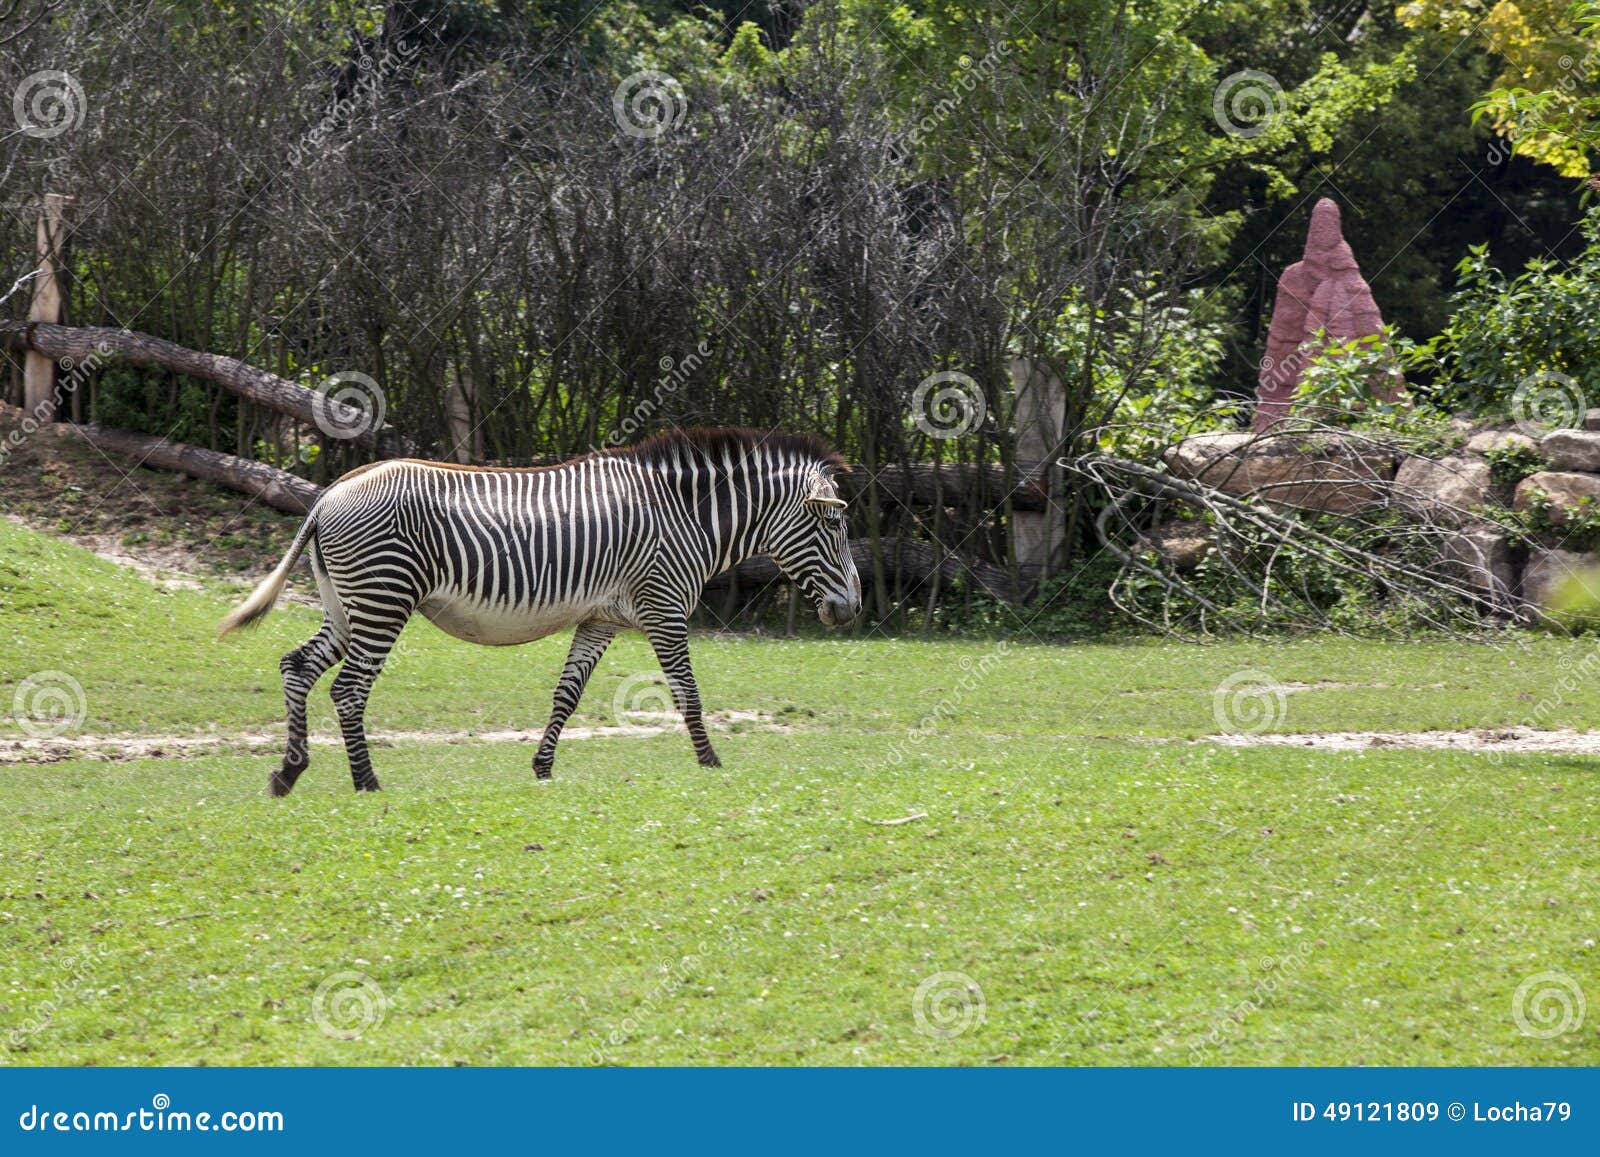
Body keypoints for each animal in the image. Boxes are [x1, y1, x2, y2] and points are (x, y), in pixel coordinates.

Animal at [218, 428, 862, 795]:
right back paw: (366, 781)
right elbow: (687, 692)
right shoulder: (664, 607)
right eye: (834, 526)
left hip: (348, 604)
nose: (851, 609)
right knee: (349, 690)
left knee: (298, 667)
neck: (686, 517)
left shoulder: (601, 619)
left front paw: (542, 766)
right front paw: (711, 763)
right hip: (384, 598)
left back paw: (288, 773)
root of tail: (330, 491)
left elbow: (567, 695)